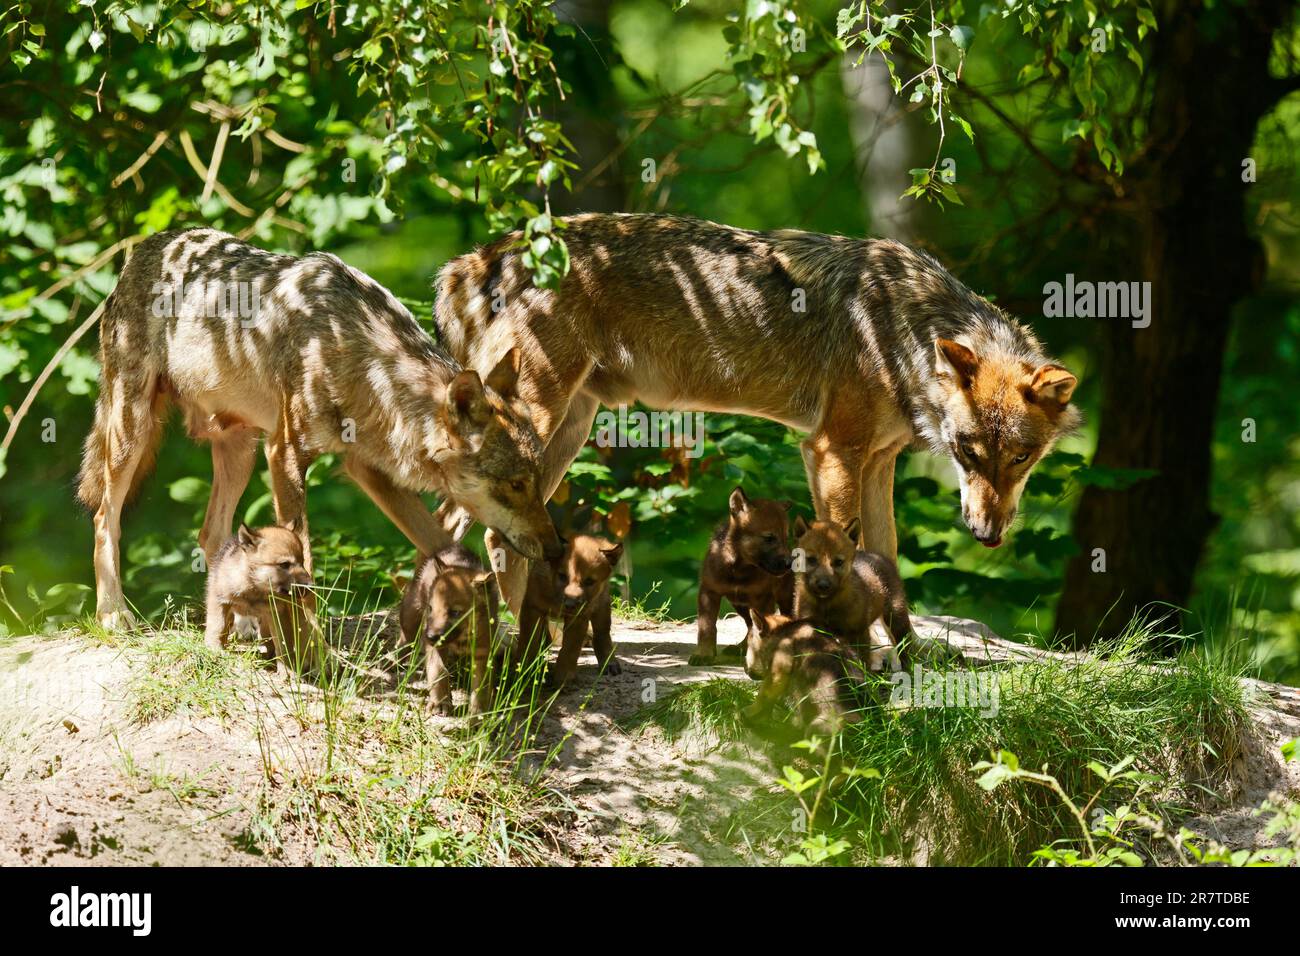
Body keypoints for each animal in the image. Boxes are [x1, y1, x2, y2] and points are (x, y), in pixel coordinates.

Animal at [77, 229, 560, 628]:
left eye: (537, 481)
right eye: (515, 485)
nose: (554, 547)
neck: (358, 355)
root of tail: (147, 247)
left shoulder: (368, 470)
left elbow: (447, 548)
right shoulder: (286, 454)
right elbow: (303, 557)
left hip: (240, 449)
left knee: (210, 535)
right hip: (133, 433)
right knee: (104, 517)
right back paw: (113, 615)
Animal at [433, 213, 1079, 607]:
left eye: (1021, 458)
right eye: (968, 452)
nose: (987, 536)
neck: (903, 335)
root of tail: (473, 259)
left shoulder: (878, 462)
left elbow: (887, 557)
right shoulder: (832, 451)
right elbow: (839, 549)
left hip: (568, 432)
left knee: (479, 529)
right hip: (537, 427)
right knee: (470, 528)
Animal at [691, 487, 794, 665]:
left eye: (785, 538)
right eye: (769, 538)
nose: (789, 563)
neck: (738, 569)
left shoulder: (763, 598)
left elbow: (758, 629)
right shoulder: (708, 592)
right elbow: (706, 626)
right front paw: (704, 654)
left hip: (785, 597)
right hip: (739, 604)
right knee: (748, 624)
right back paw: (739, 648)